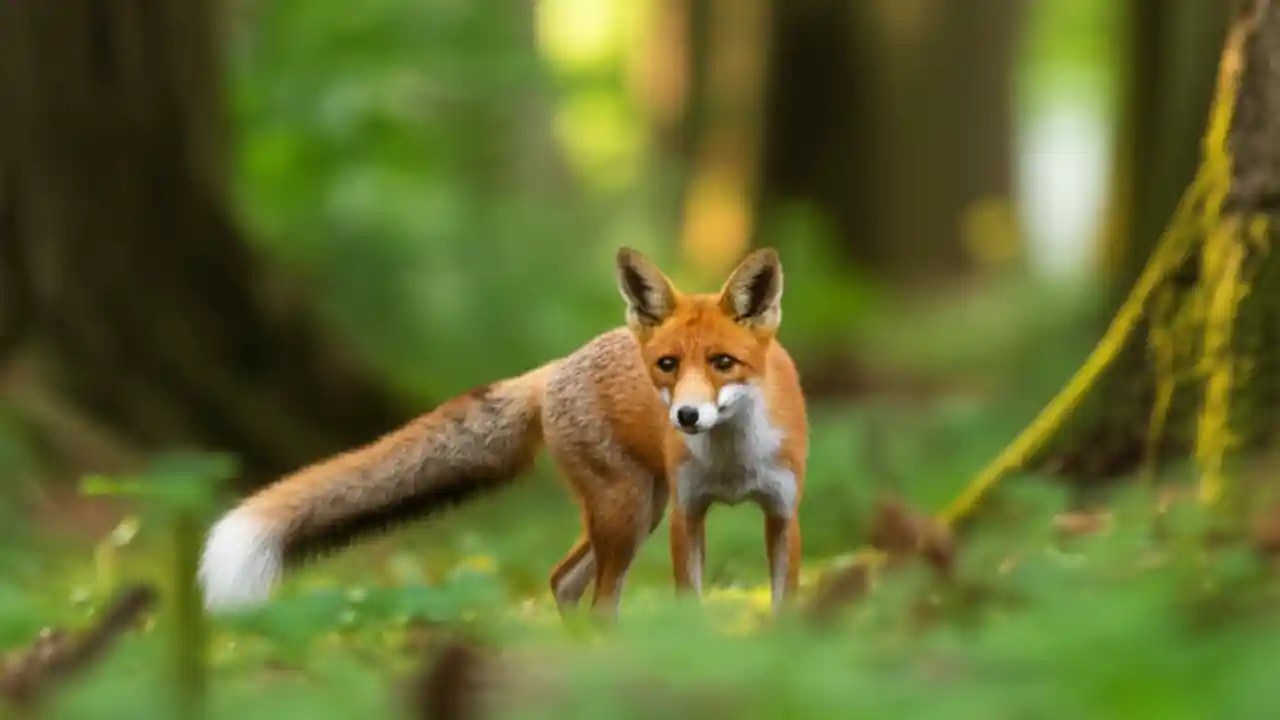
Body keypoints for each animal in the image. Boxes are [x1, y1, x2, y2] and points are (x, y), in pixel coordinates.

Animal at [199, 247, 807, 617]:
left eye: (723, 363)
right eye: (667, 366)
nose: (685, 418)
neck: (732, 463)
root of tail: (555, 368)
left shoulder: (782, 513)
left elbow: (785, 608)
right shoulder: (689, 514)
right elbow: (690, 605)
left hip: (638, 512)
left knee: (567, 584)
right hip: (631, 510)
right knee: (592, 598)